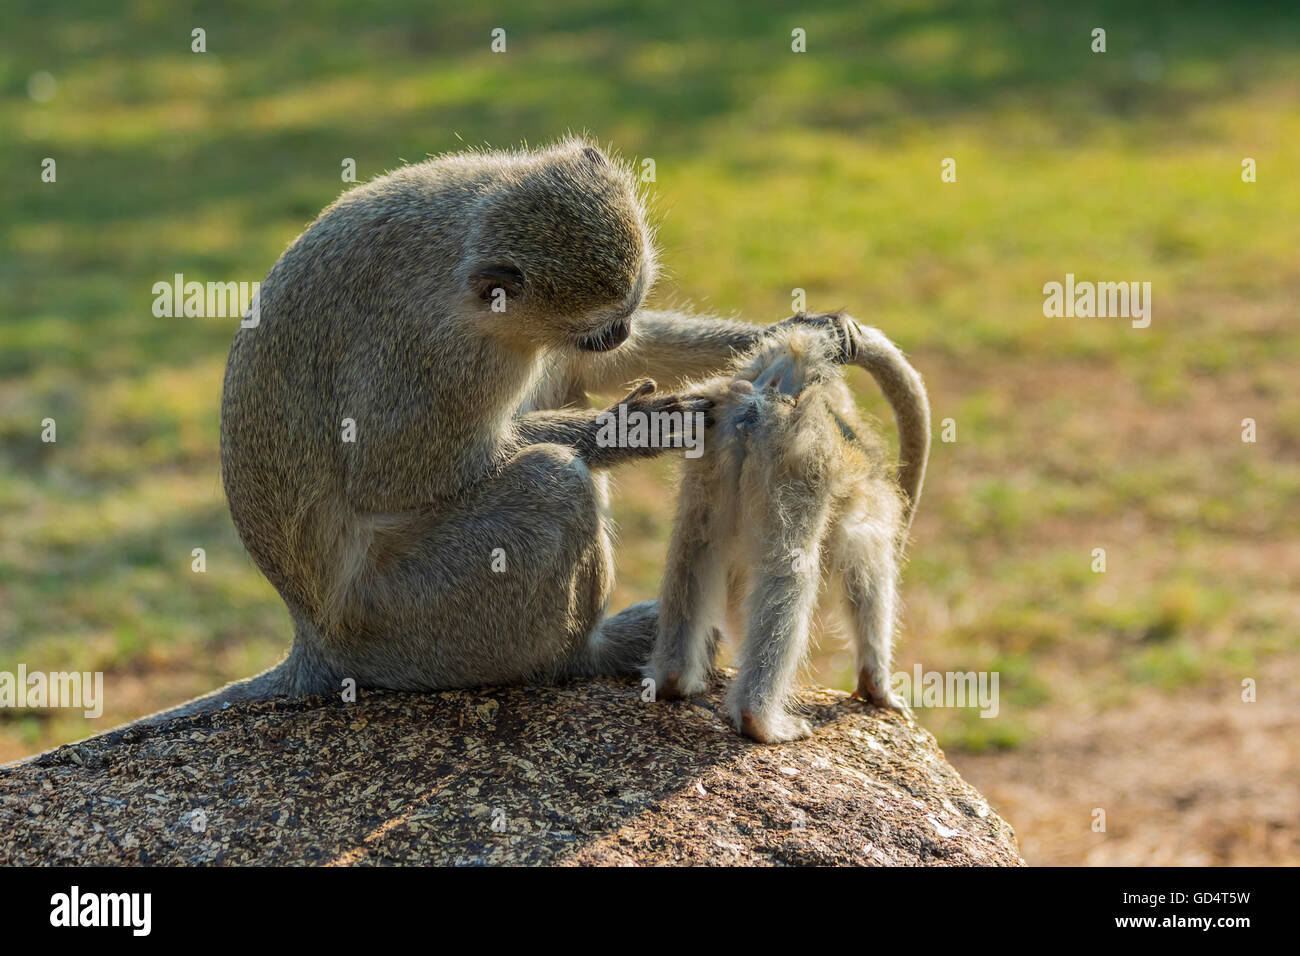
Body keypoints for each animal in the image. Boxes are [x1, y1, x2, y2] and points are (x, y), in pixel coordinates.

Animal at [132, 137, 871, 725]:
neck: (464, 240)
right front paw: (634, 428)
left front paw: (802, 331)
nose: (619, 331)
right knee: (551, 483)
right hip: (410, 616)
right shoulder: (440, 356)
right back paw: (582, 655)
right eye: (600, 324)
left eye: (628, 312)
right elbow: (393, 475)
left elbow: (596, 367)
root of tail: (317, 638)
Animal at [647, 319, 930, 743]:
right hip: (795, 462)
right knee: (791, 569)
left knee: (694, 545)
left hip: (713, 444)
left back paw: (673, 679)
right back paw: (759, 719)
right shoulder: (864, 512)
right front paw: (877, 687)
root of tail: (764, 395)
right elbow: (867, 581)